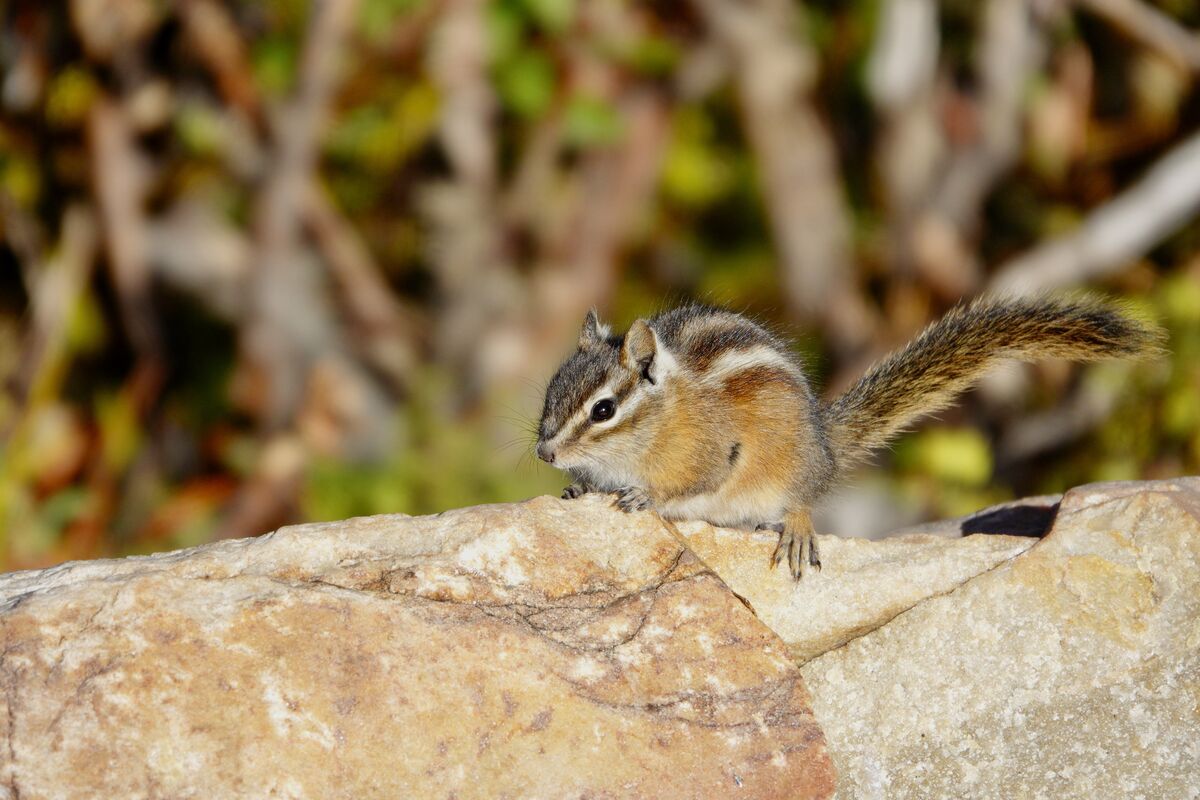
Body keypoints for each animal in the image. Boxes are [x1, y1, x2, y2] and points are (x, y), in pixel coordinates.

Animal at [535, 297, 1163, 579]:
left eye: (604, 409)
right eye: (551, 389)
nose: (545, 451)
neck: (665, 412)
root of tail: (825, 444)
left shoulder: (712, 451)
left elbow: (698, 478)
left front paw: (645, 495)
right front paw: (577, 489)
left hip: (789, 471)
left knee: (800, 499)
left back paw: (795, 528)